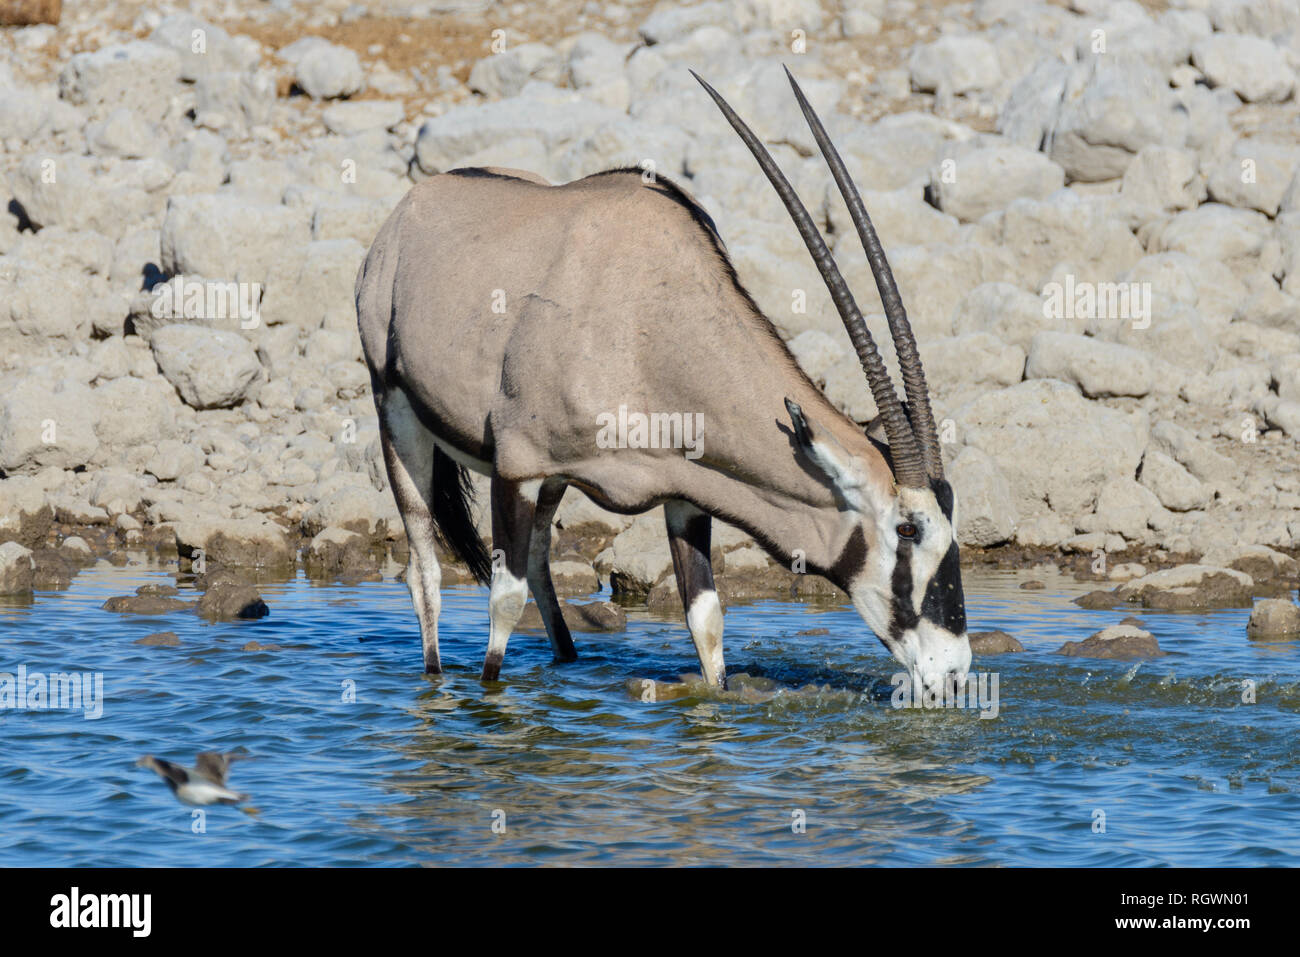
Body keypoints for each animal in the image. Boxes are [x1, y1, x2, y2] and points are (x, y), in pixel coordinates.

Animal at [356, 69, 971, 696]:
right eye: (906, 530)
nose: (951, 671)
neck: (650, 320)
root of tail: (409, 207)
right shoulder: (516, 468)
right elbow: (503, 605)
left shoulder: (684, 488)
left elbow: (706, 620)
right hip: (397, 412)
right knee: (426, 570)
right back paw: (434, 674)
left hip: (553, 479)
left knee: (539, 560)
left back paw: (567, 661)